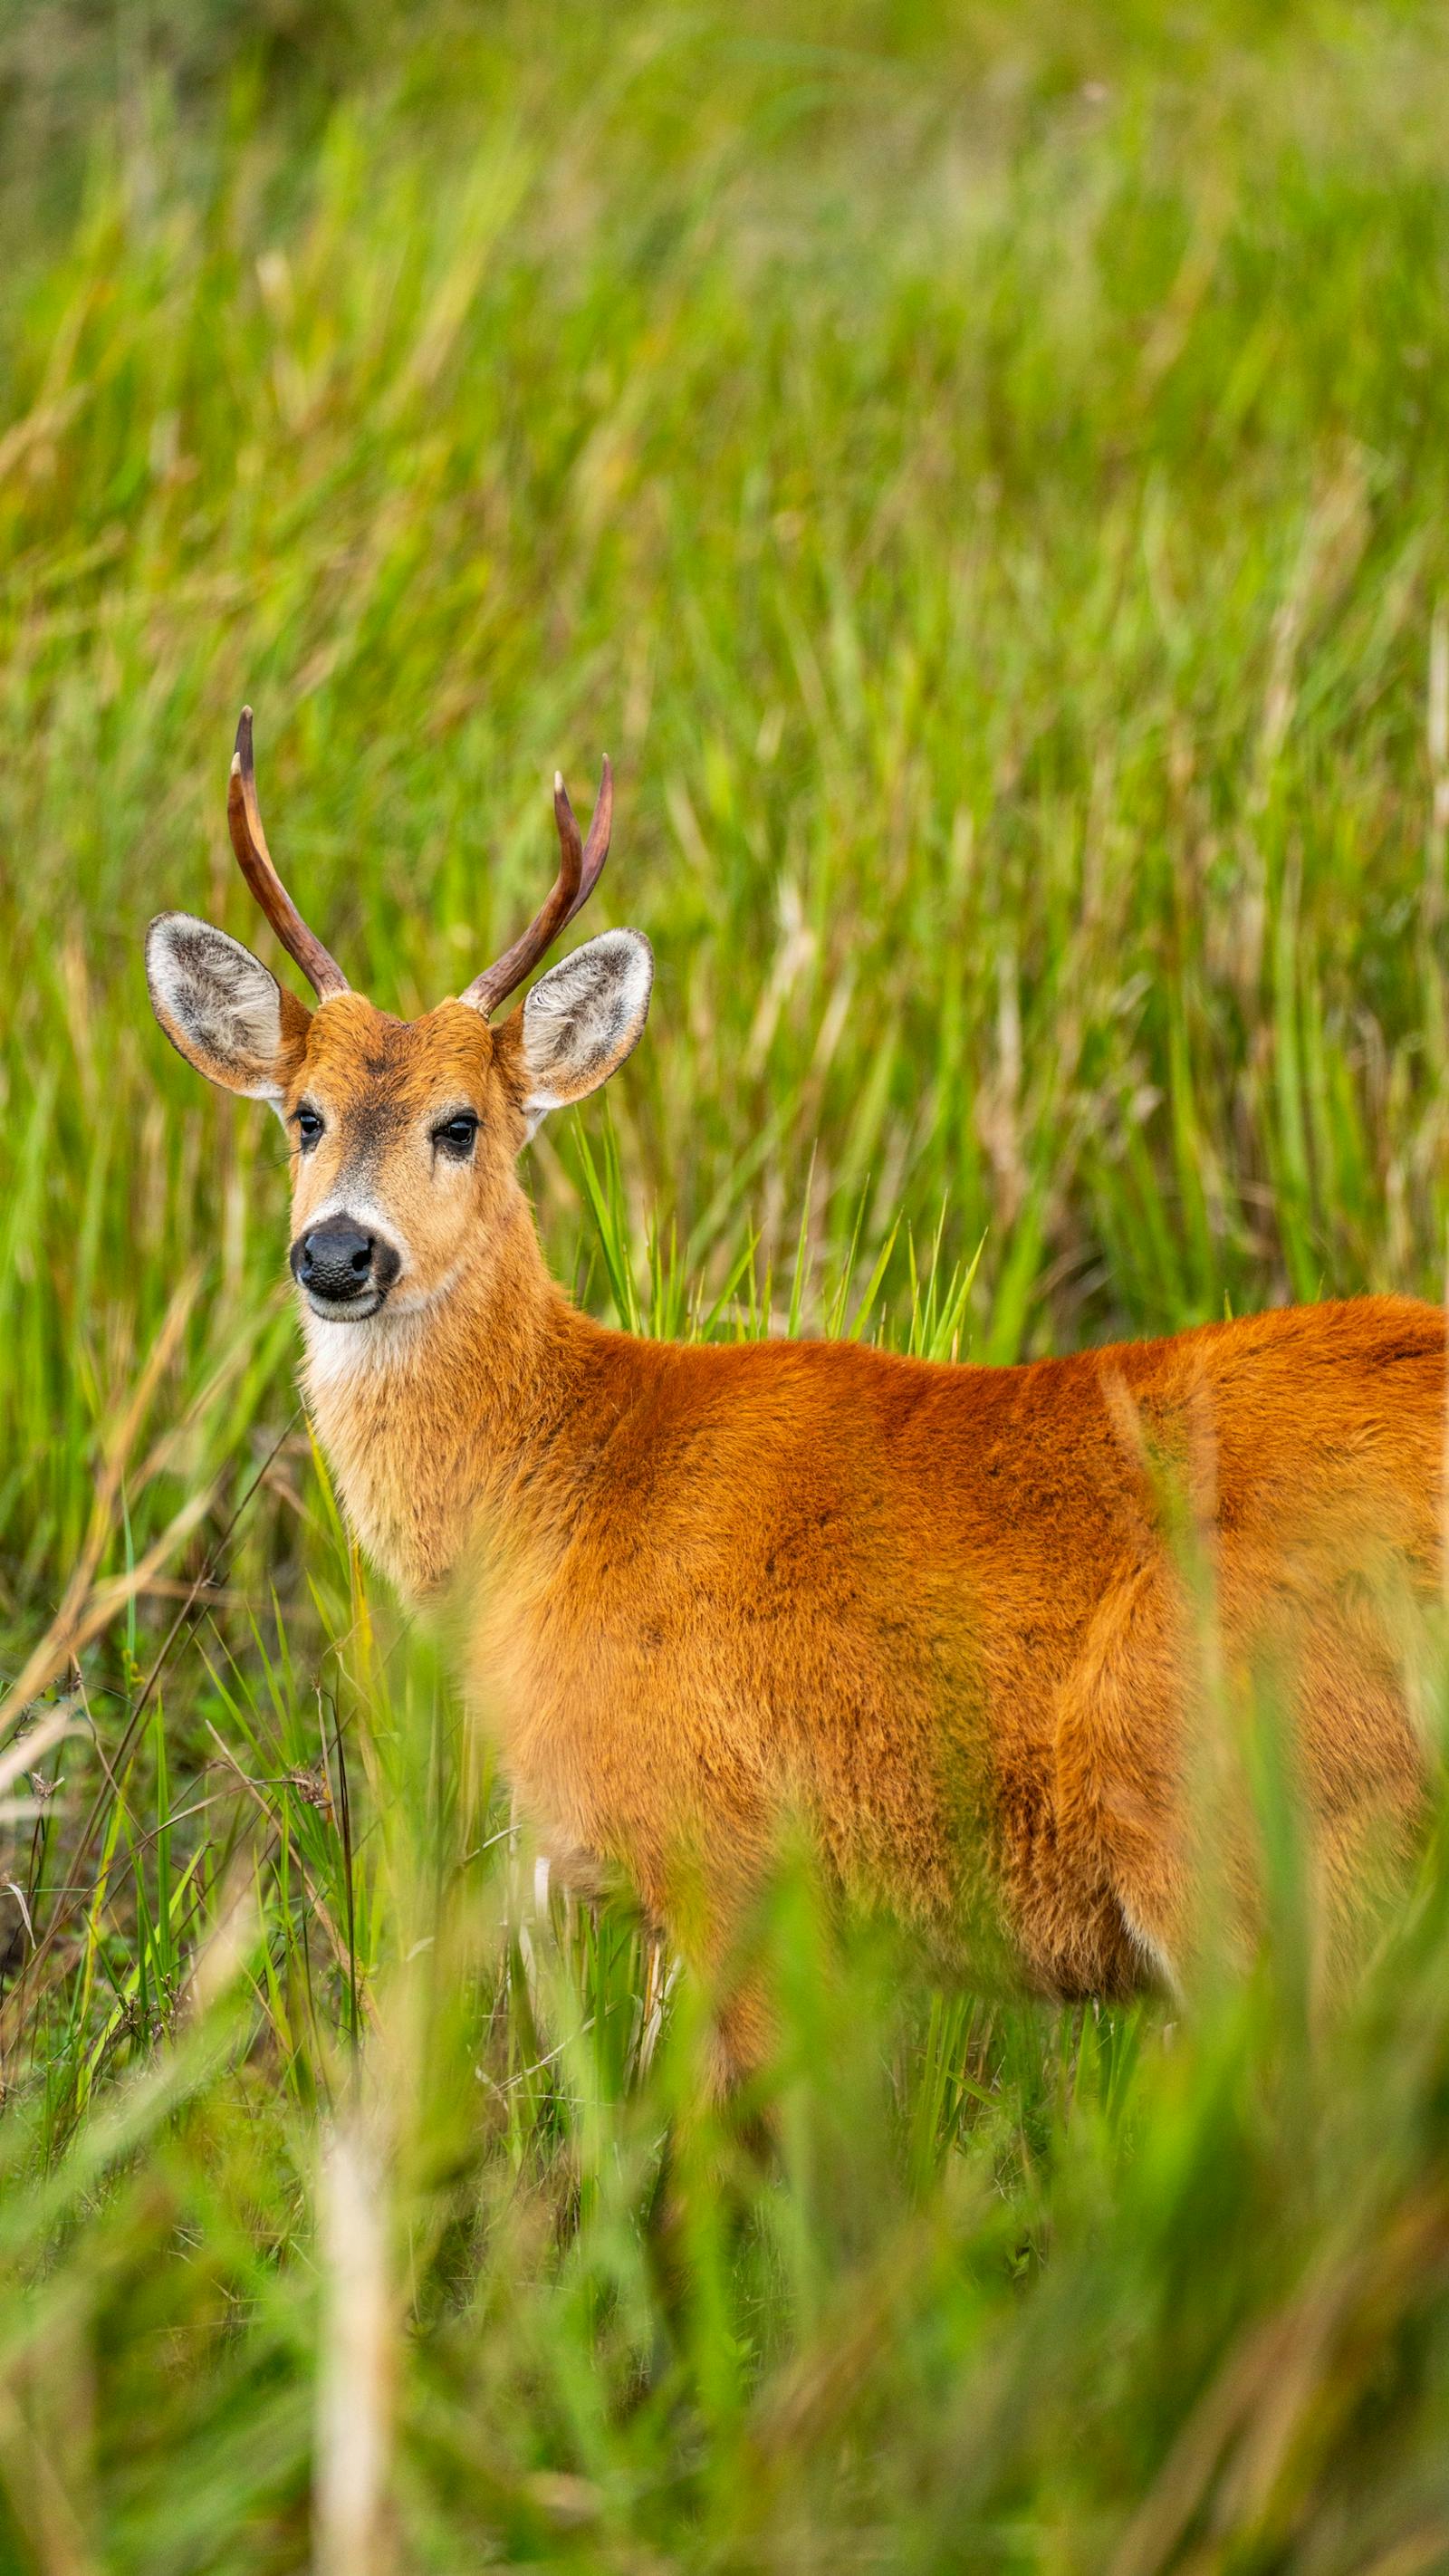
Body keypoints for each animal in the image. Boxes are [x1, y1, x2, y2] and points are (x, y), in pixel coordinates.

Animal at [145, 711, 1441, 2072]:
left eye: (461, 1124)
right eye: (303, 1117)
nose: (341, 1254)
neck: (568, 1487)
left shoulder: (735, 1867)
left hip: (1262, 1827)